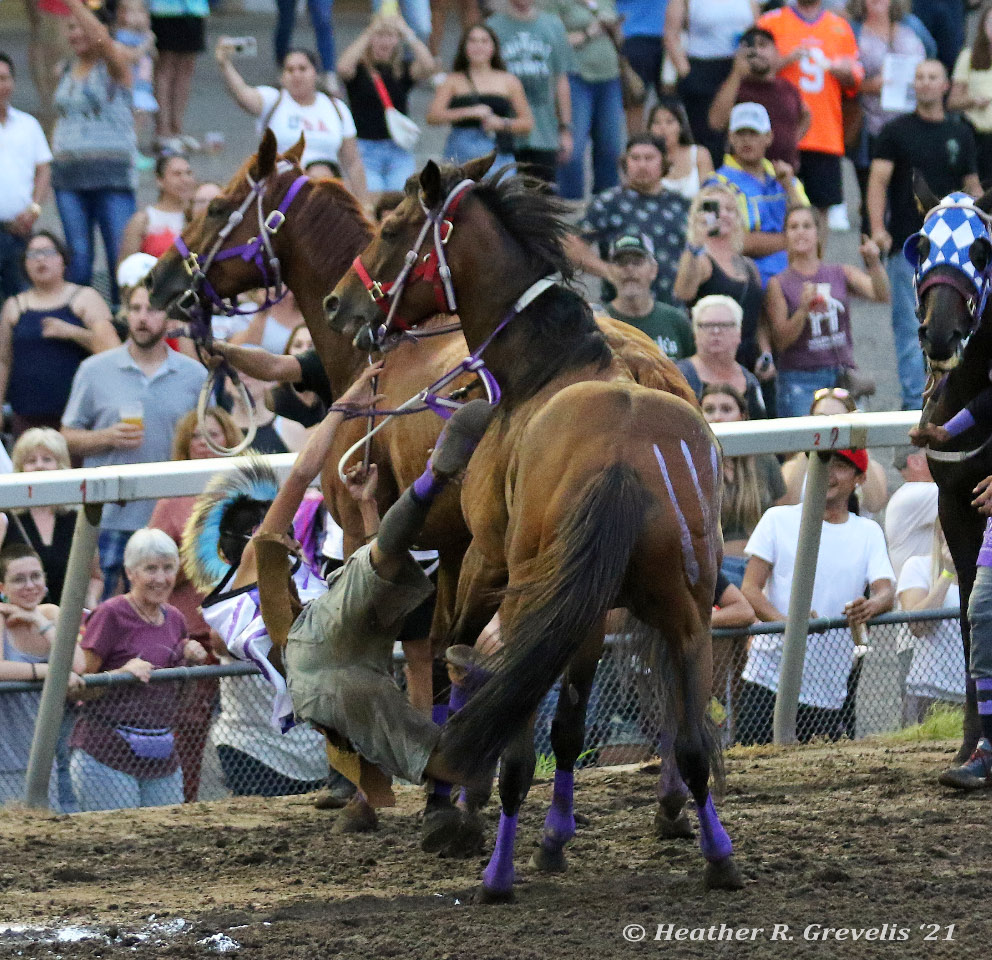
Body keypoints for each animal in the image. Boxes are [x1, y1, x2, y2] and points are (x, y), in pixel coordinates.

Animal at [325, 155, 742, 899]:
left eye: (394, 226)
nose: (340, 304)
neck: (548, 365)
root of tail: (623, 456)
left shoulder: (485, 561)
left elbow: (454, 652)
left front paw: (454, 808)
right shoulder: (589, 610)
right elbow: (571, 721)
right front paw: (555, 834)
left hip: (525, 590)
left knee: (500, 707)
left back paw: (493, 863)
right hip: (681, 609)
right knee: (689, 740)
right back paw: (711, 850)